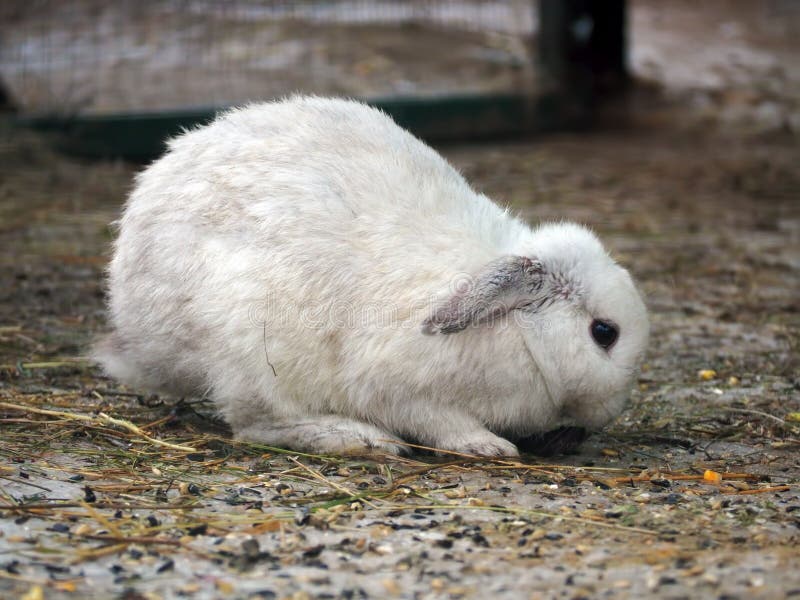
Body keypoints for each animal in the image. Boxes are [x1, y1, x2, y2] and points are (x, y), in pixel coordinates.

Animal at [96, 96, 649, 457]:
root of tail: (136, 327)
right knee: (258, 423)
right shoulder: (400, 391)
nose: (608, 412)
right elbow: (440, 423)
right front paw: (488, 446)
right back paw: (358, 438)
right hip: (252, 346)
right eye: (604, 333)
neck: (522, 333)